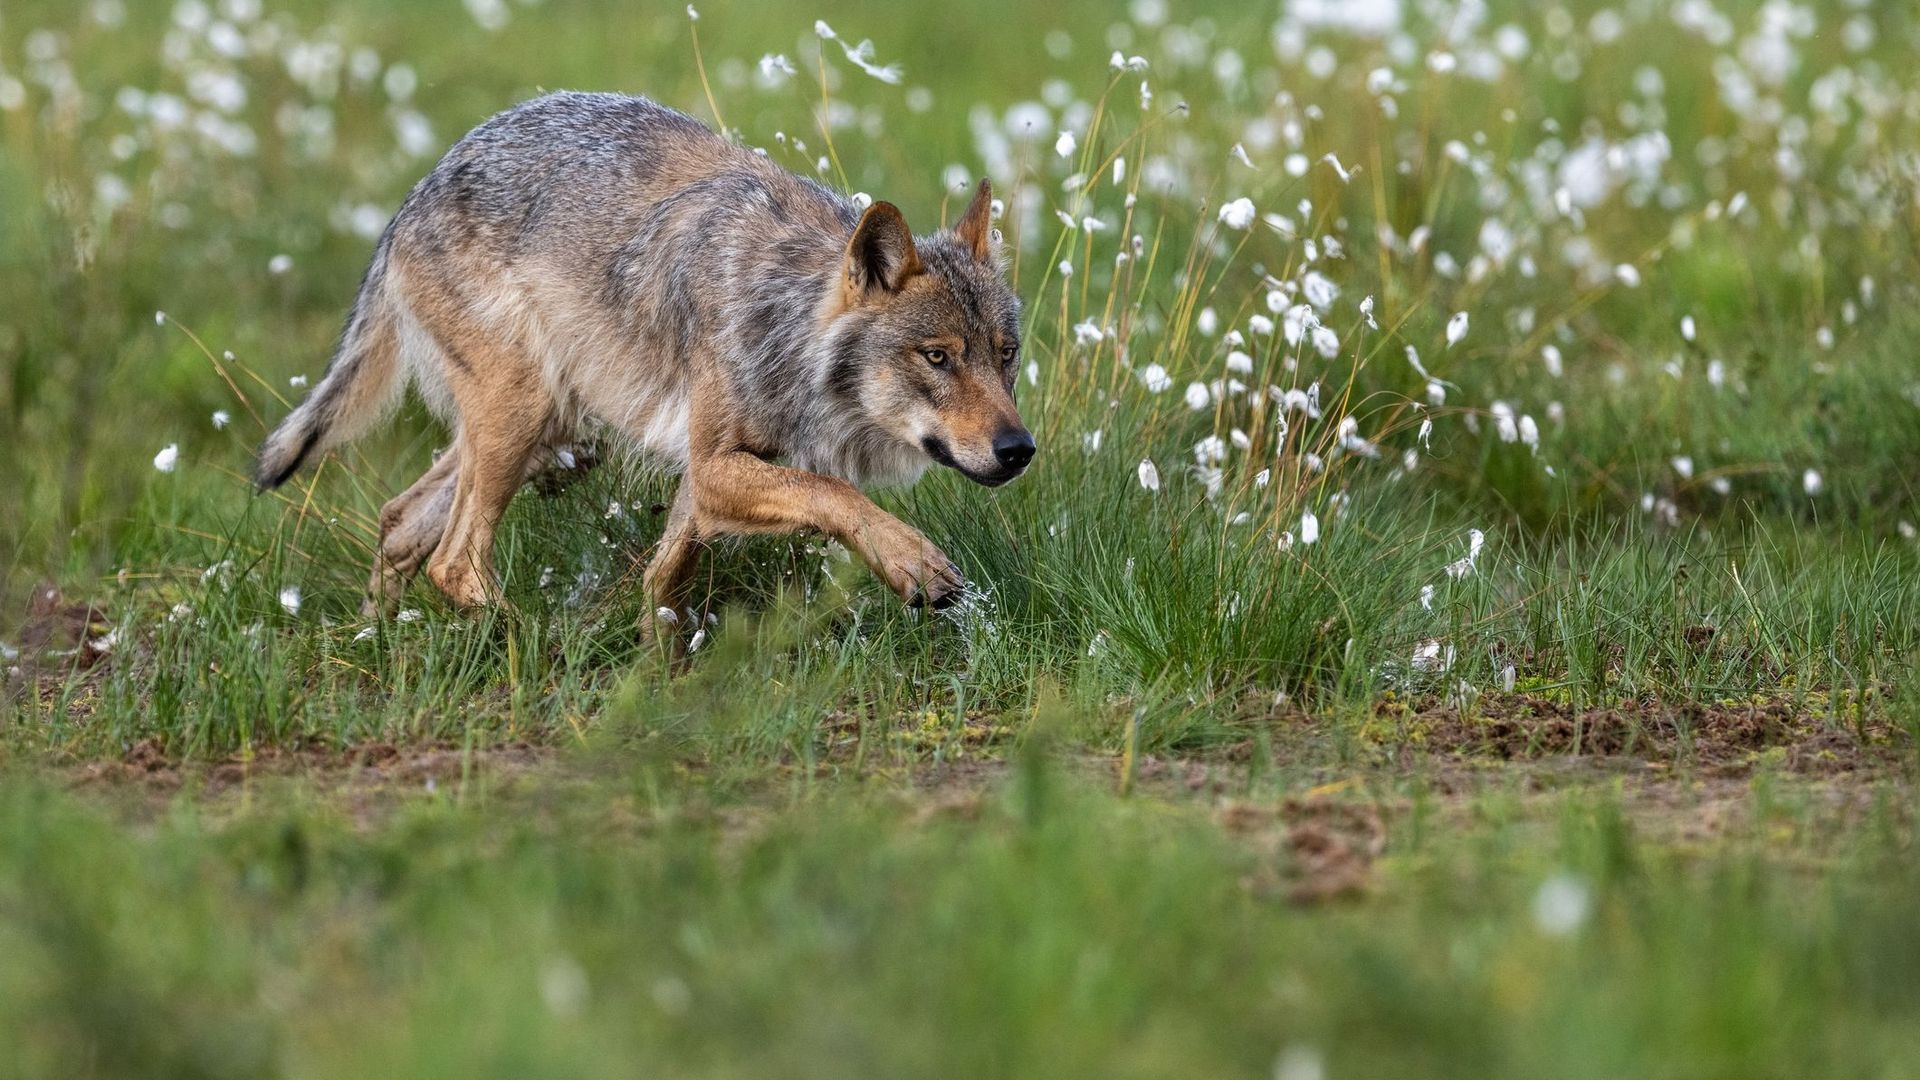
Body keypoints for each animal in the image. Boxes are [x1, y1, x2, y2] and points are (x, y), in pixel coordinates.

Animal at [254, 91, 1033, 637]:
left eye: (1006, 356)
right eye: (937, 357)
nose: (1019, 450)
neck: (781, 306)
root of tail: (410, 201)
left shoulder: (704, 481)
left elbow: (665, 583)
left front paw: (659, 670)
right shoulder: (716, 468)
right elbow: (839, 495)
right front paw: (914, 563)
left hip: (551, 436)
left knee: (399, 522)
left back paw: (372, 643)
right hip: (526, 419)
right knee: (454, 563)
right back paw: (529, 643)